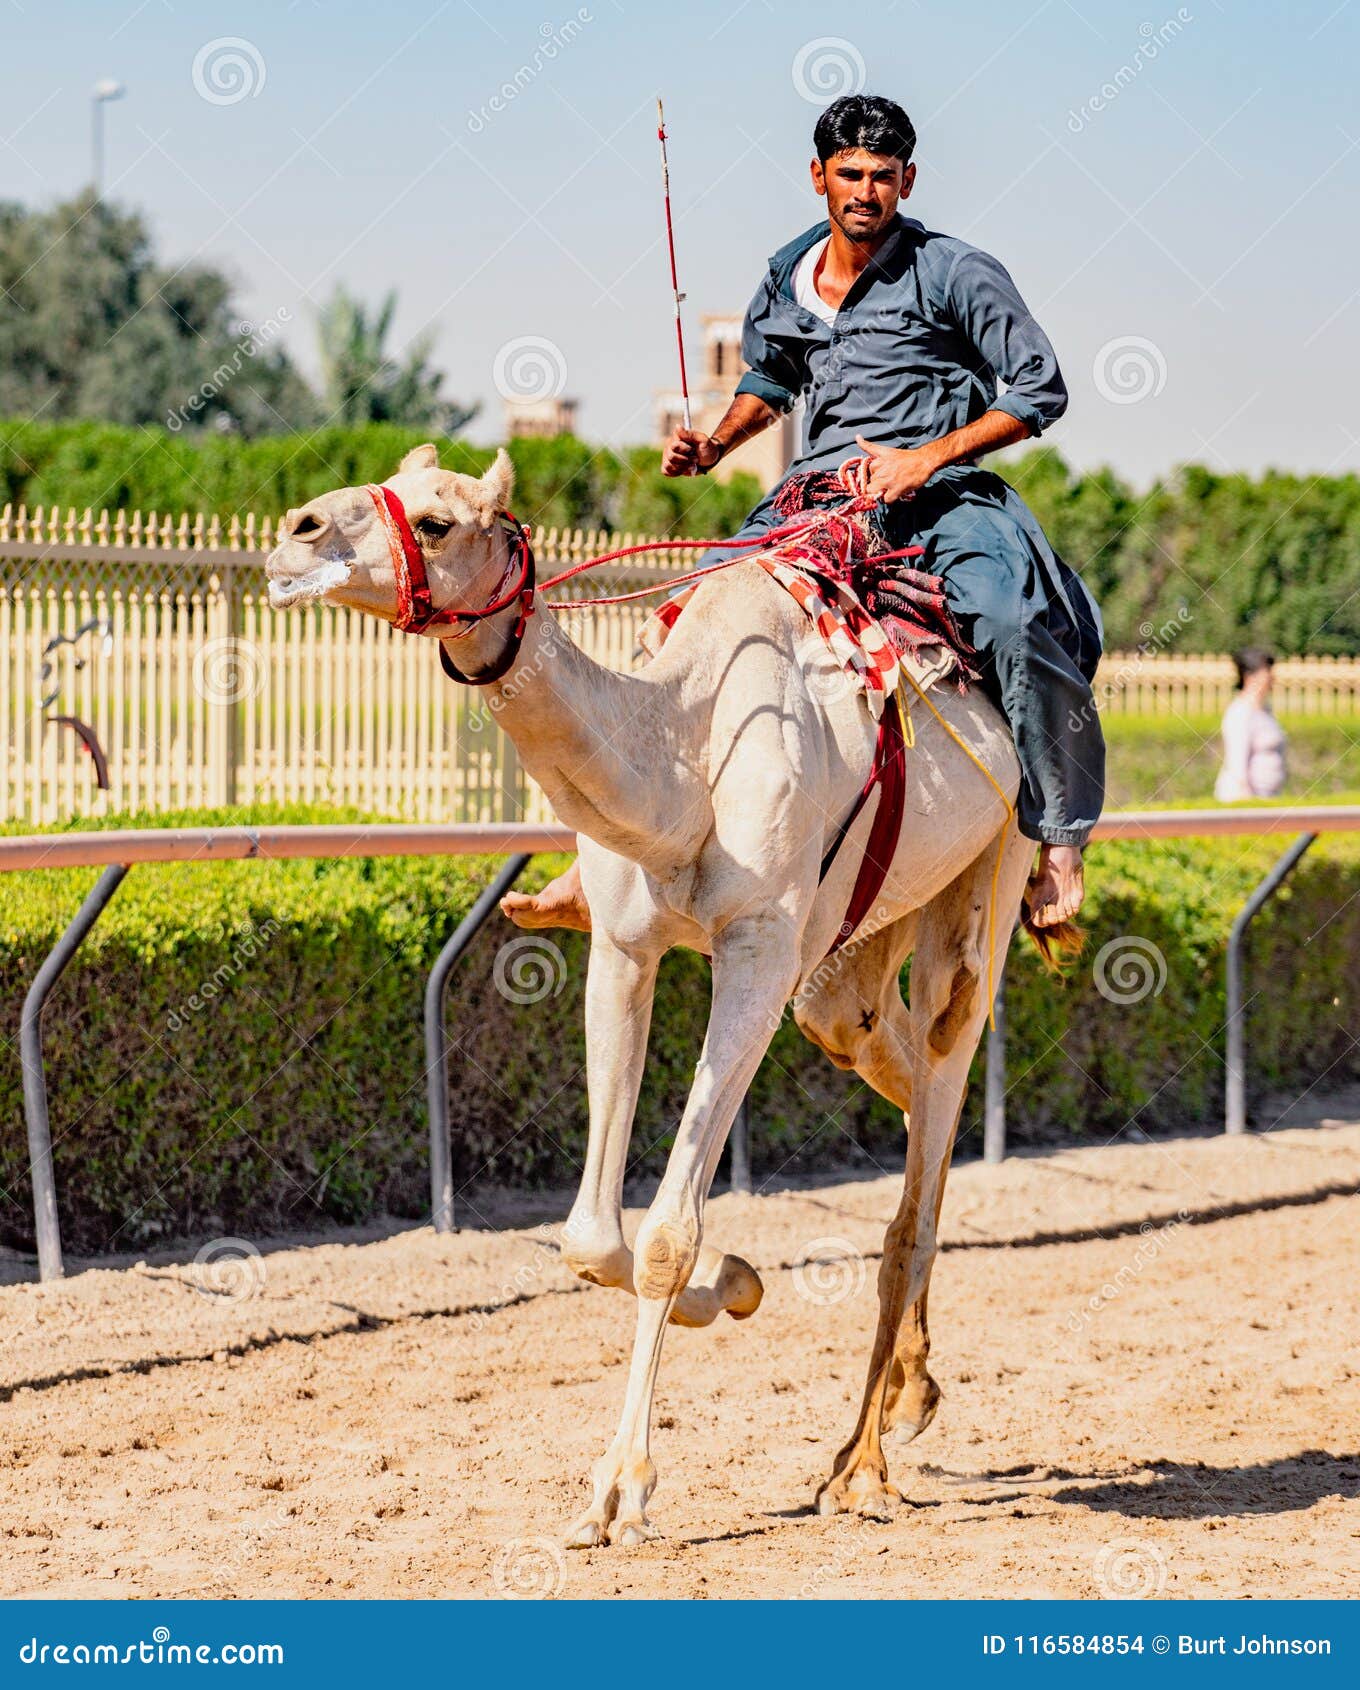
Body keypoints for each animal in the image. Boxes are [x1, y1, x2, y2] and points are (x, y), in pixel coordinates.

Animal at [266, 443, 1072, 1544]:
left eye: (437, 520)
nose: (292, 534)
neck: (686, 763)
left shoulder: (758, 956)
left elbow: (666, 1230)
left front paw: (619, 1489)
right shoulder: (623, 947)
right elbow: (590, 1233)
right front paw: (733, 1284)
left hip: (990, 868)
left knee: (940, 1073)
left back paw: (861, 1465)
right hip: (862, 937)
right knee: (888, 1065)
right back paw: (909, 1387)